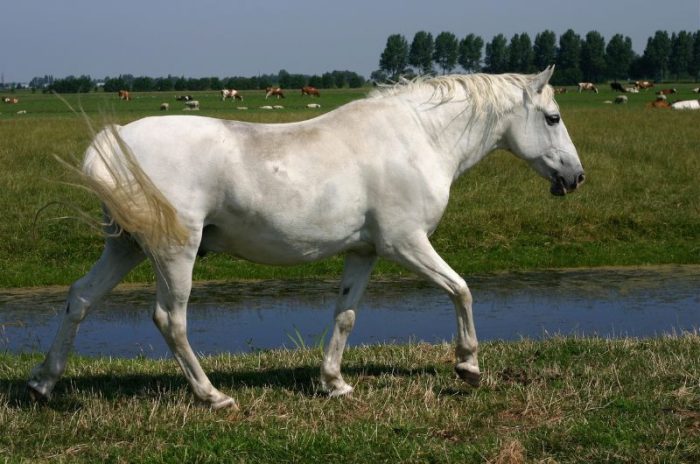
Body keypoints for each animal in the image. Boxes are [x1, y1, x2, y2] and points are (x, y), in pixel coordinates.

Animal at [28, 67, 585, 409]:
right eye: (553, 118)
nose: (576, 177)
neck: (417, 139)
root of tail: (117, 140)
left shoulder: (365, 252)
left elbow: (345, 316)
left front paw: (334, 383)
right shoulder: (406, 244)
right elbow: (461, 289)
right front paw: (468, 365)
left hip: (124, 247)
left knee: (80, 299)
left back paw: (42, 382)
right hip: (174, 254)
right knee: (171, 320)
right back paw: (213, 397)